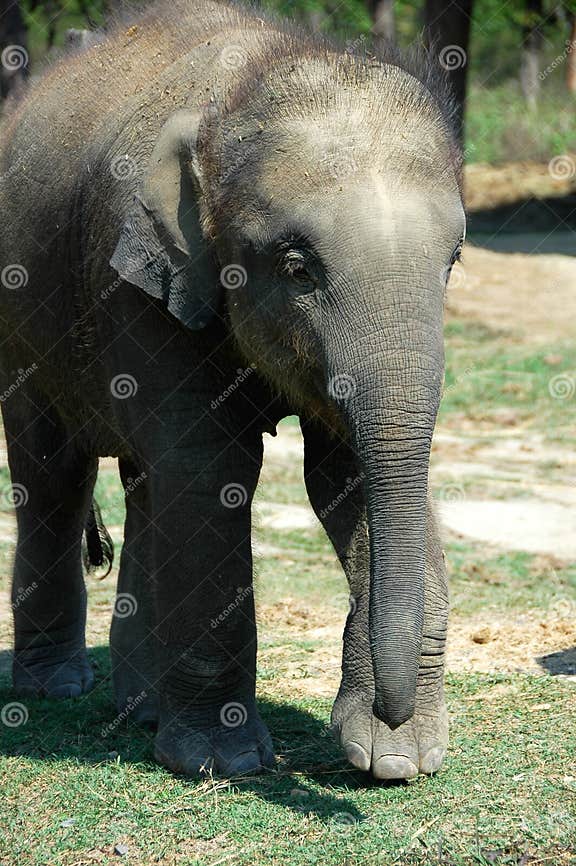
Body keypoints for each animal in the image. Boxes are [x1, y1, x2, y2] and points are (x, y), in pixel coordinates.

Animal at [0, 0, 465, 780]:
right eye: (296, 265)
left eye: (454, 259)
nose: (390, 712)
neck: (250, 80)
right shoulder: (141, 277)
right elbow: (210, 467)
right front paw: (223, 763)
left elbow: (343, 471)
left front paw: (394, 760)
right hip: (19, 325)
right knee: (53, 474)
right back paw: (54, 688)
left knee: (146, 480)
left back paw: (141, 710)